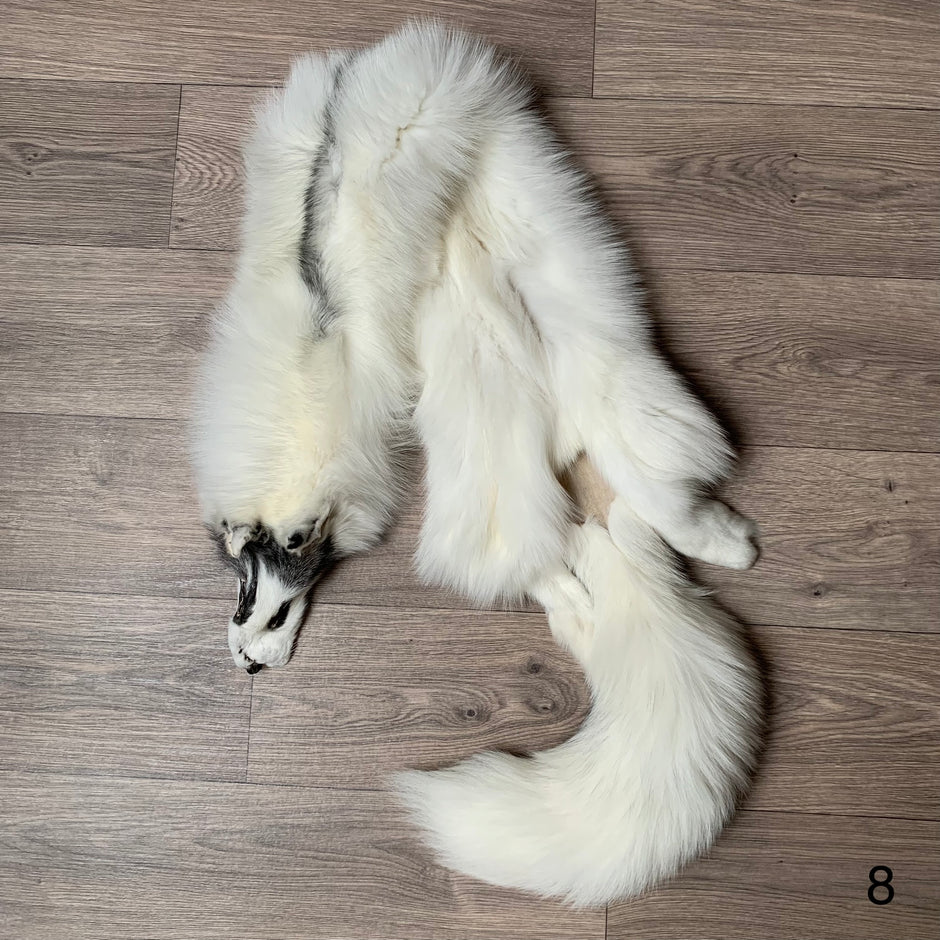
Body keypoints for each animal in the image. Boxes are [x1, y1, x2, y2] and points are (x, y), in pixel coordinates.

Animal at [190, 23, 761, 905]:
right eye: (248, 595)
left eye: (279, 613)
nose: (249, 666)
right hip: (537, 423)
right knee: (584, 537)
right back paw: (688, 553)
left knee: (609, 522)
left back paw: (710, 546)